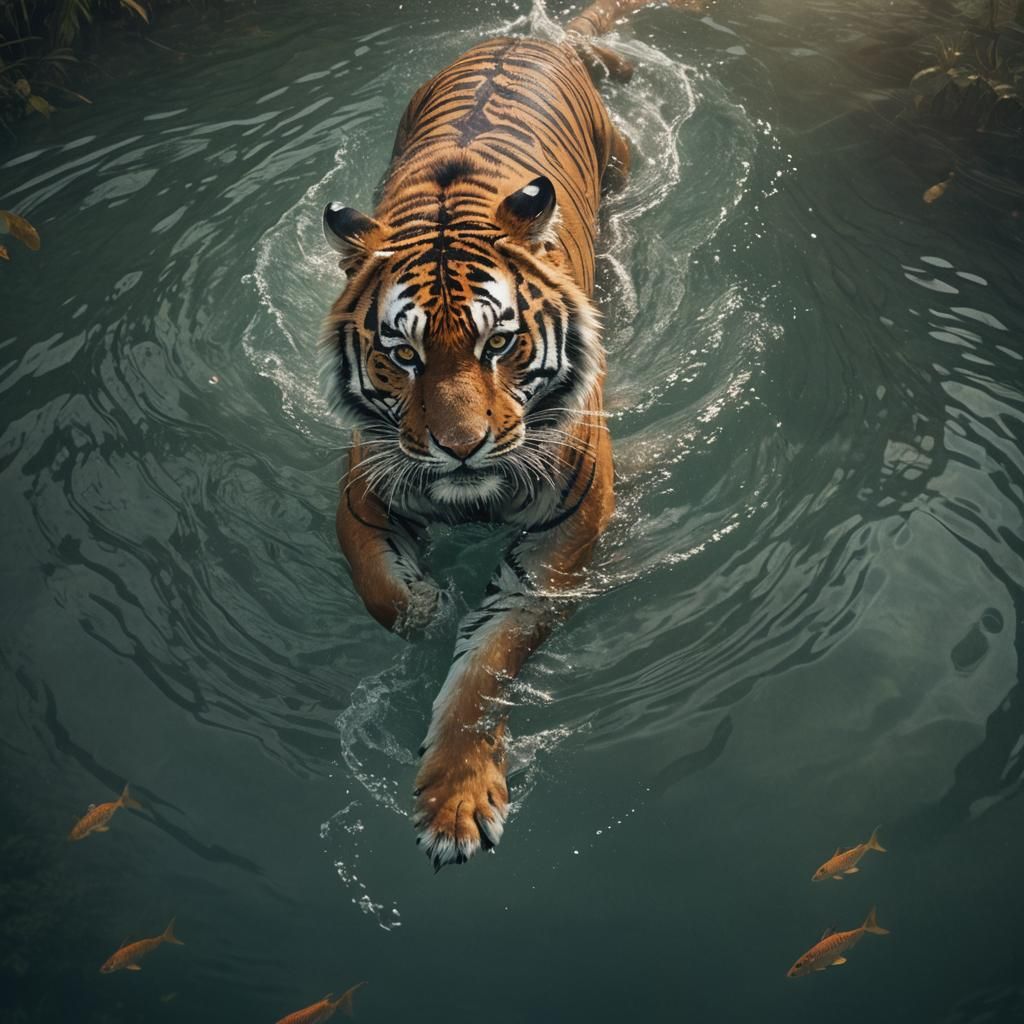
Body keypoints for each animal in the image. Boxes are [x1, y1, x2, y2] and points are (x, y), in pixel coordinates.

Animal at [320, 0, 702, 869]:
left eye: (500, 343)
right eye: (402, 354)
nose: (460, 446)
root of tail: (530, 35)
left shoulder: (563, 540)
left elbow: (486, 670)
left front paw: (457, 804)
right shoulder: (361, 491)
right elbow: (379, 590)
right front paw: (425, 602)